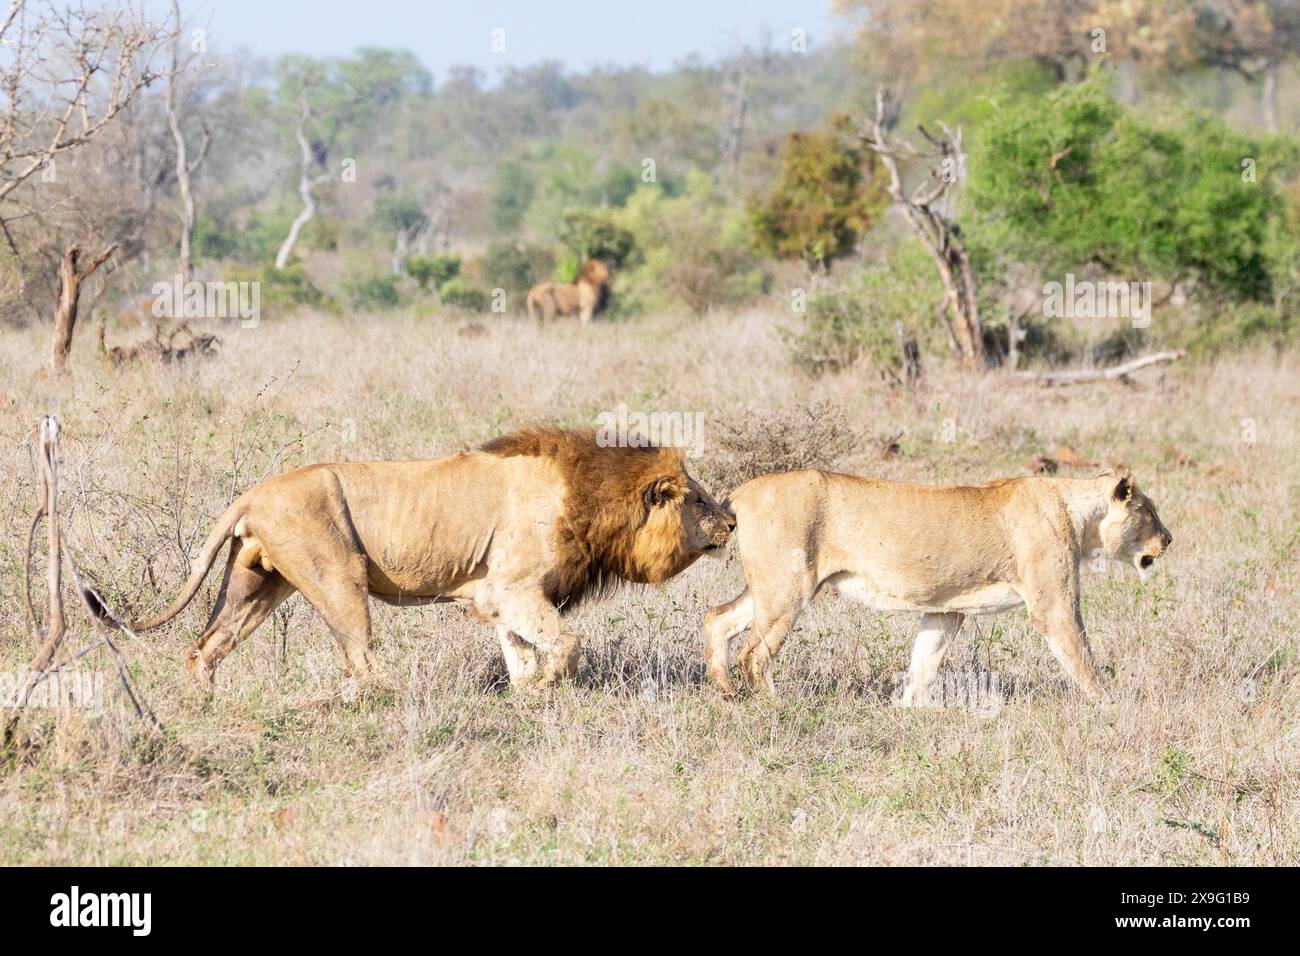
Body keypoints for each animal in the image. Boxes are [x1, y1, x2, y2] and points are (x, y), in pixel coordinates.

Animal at [110, 427, 733, 690]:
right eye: (698, 500)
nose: (730, 523)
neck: (593, 498)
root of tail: (251, 494)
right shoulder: (514, 588)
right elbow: (565, 646)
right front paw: (550, 689)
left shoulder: (498, 597)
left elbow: (520, 656)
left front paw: (528, 699)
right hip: (338, 576)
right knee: (359, 660)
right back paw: (391, 701)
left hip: (256, 584)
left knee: (204, 647)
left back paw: (203, 704)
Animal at [704, 467, 1171, 704]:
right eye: (1149, 512)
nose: (1168, 539)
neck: (1078, 513)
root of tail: (741, 491)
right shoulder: (1053, 605)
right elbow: (1083, 660)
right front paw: (1113, 709)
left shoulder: (946, 610)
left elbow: (923, 663)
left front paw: (907, 713)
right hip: (789, 590)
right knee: (754, 654)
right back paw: (775, 706)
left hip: (772, 589)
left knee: (716, 618)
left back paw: (726, 693)